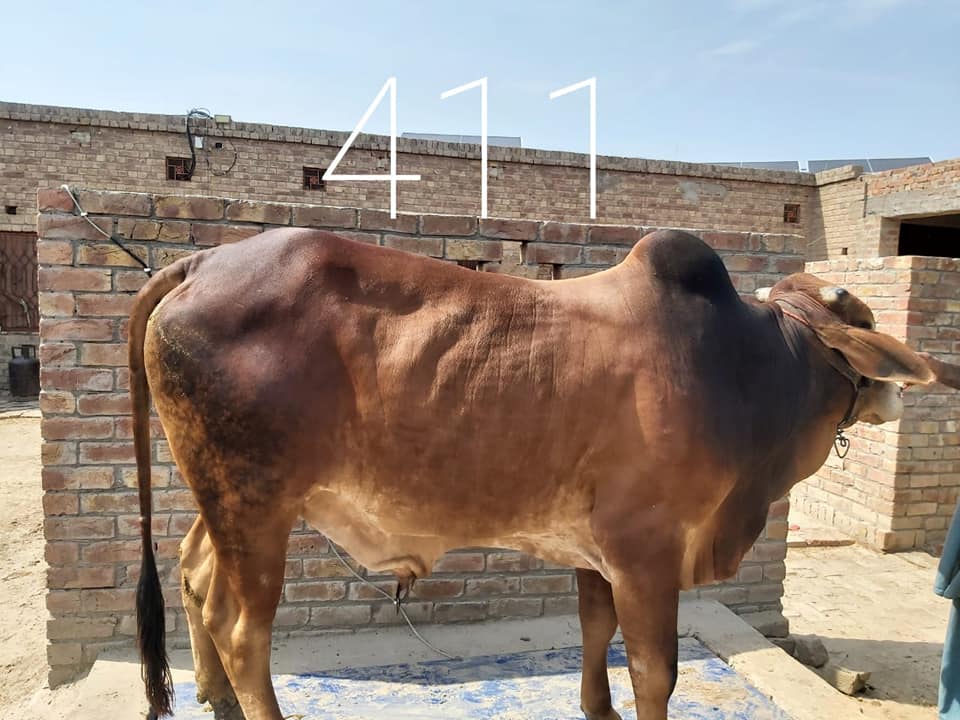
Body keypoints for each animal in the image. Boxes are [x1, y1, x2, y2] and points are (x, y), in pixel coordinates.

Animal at [128, 226, 959, 720]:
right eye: (863, 320)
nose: (894, 389)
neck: (747, 368)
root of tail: (202, 261)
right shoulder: (647, 554)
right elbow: (655, 670)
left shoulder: (596, 553)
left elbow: (596, 634)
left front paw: (598, 708)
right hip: (255, 500)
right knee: (242, 630)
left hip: (227, 498)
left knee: (196, 575)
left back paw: (216, 700)